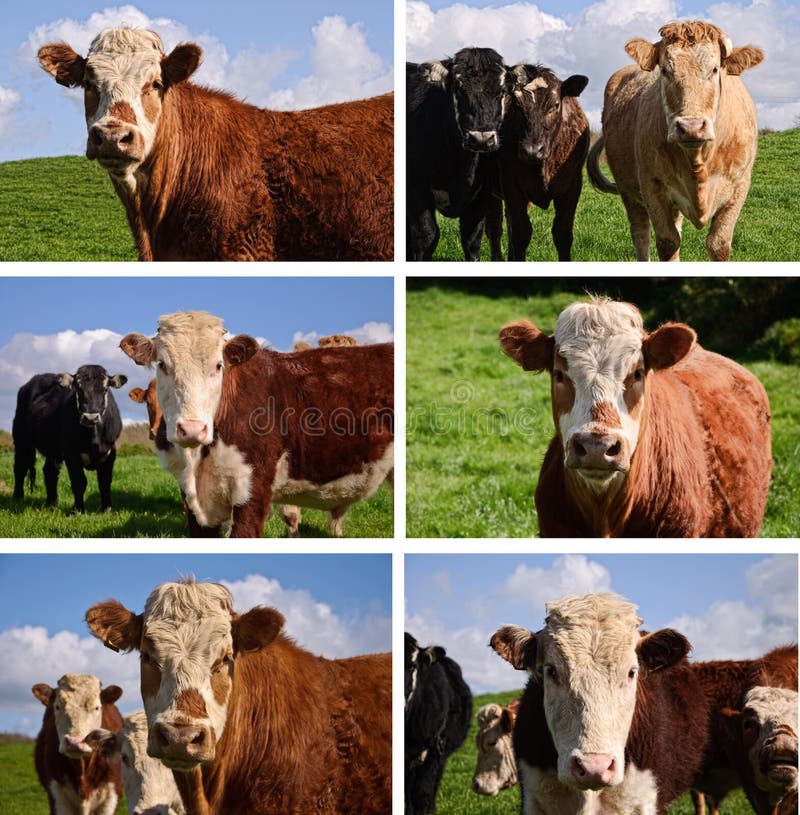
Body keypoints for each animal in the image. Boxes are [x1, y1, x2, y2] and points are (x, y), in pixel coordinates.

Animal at [13, 365, 127, 512]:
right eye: (78, 389)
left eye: (105, 389)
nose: (90, 417)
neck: (93, 438)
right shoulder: (71, 453)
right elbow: (79, 482)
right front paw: (78, 510)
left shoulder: (109, 452)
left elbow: (105, 482)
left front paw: (107, 509)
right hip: (21, 439)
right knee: (20, 468)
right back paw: (18, 498)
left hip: (53, 449)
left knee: (50, 471)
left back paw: (52, 503)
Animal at [407, 48, 510, 261]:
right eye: (459, 89)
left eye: (502, 91)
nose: (481, 138)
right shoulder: (414, 189)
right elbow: (426, 236)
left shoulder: (481, 194)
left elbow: (471, 239)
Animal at [487, 64, 589, 261]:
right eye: (517, 105)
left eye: (555, 105)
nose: (532, 150)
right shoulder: (510, 183)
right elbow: (521, 233)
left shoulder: (573, 184)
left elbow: (562, 233)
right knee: (495, 229)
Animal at [587, 21, 764, 261]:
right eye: (664, 71)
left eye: (714, 69)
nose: (691, 127)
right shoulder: (651, 185)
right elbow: (668, 243)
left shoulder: (740, 185)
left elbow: (718, 243)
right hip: (629, 191)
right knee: (640, 233)